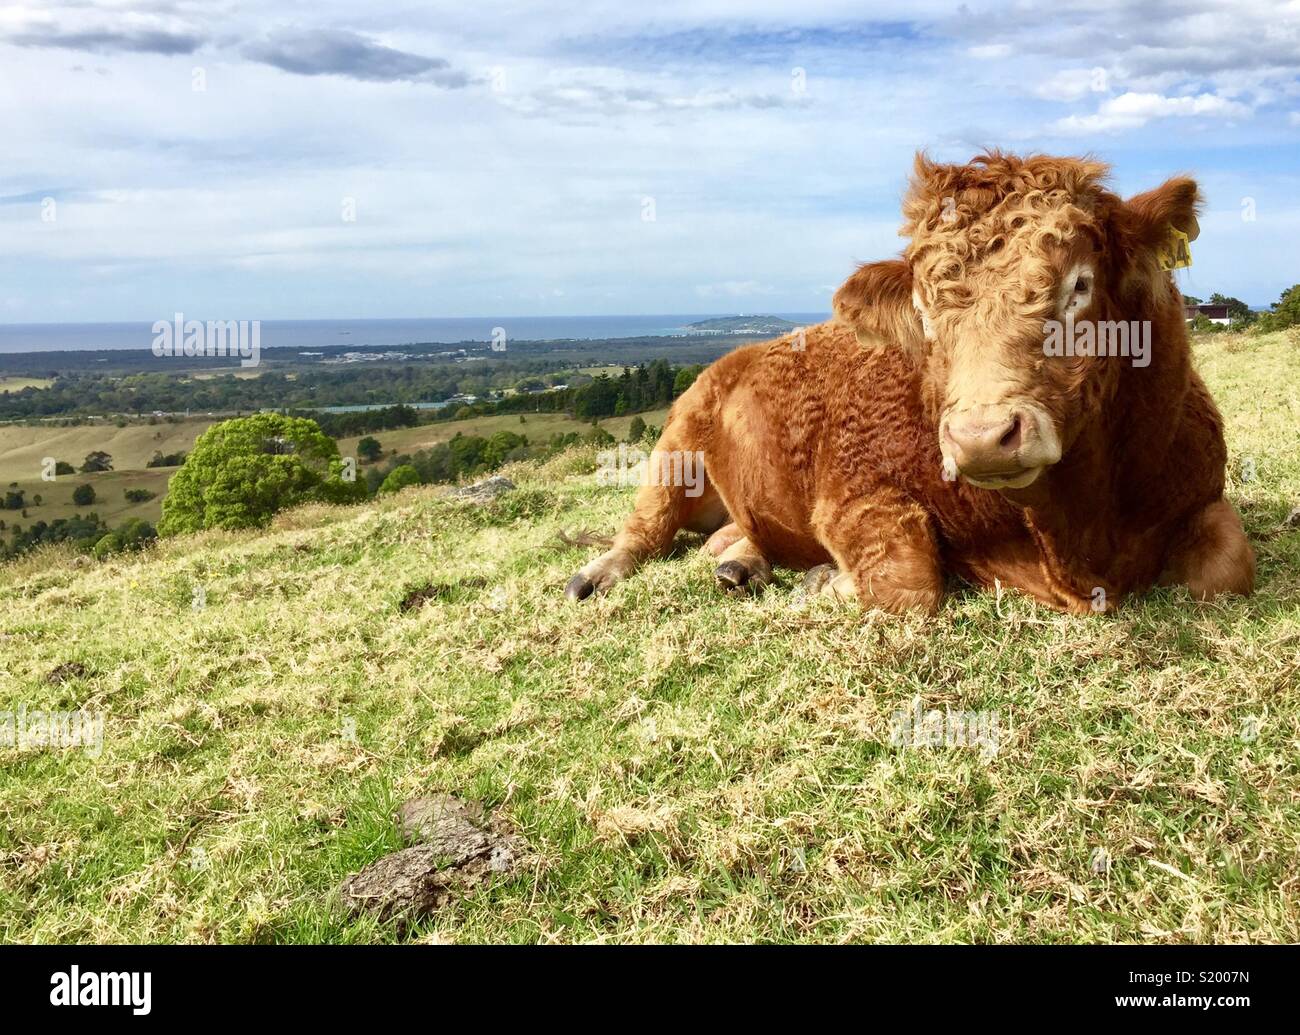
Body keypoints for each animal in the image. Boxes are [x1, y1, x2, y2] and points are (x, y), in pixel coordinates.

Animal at [563, 151, 1255, 614]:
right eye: (923, 310)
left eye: (1080, 284)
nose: (981, 437)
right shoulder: (852, 492)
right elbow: (910, 582)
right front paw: (830, 579)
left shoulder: (1199, 493)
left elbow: (1228, 568)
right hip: (674, 444)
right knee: (644, 528)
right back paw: (600, 573)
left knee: (734, 533)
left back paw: (741, 562)